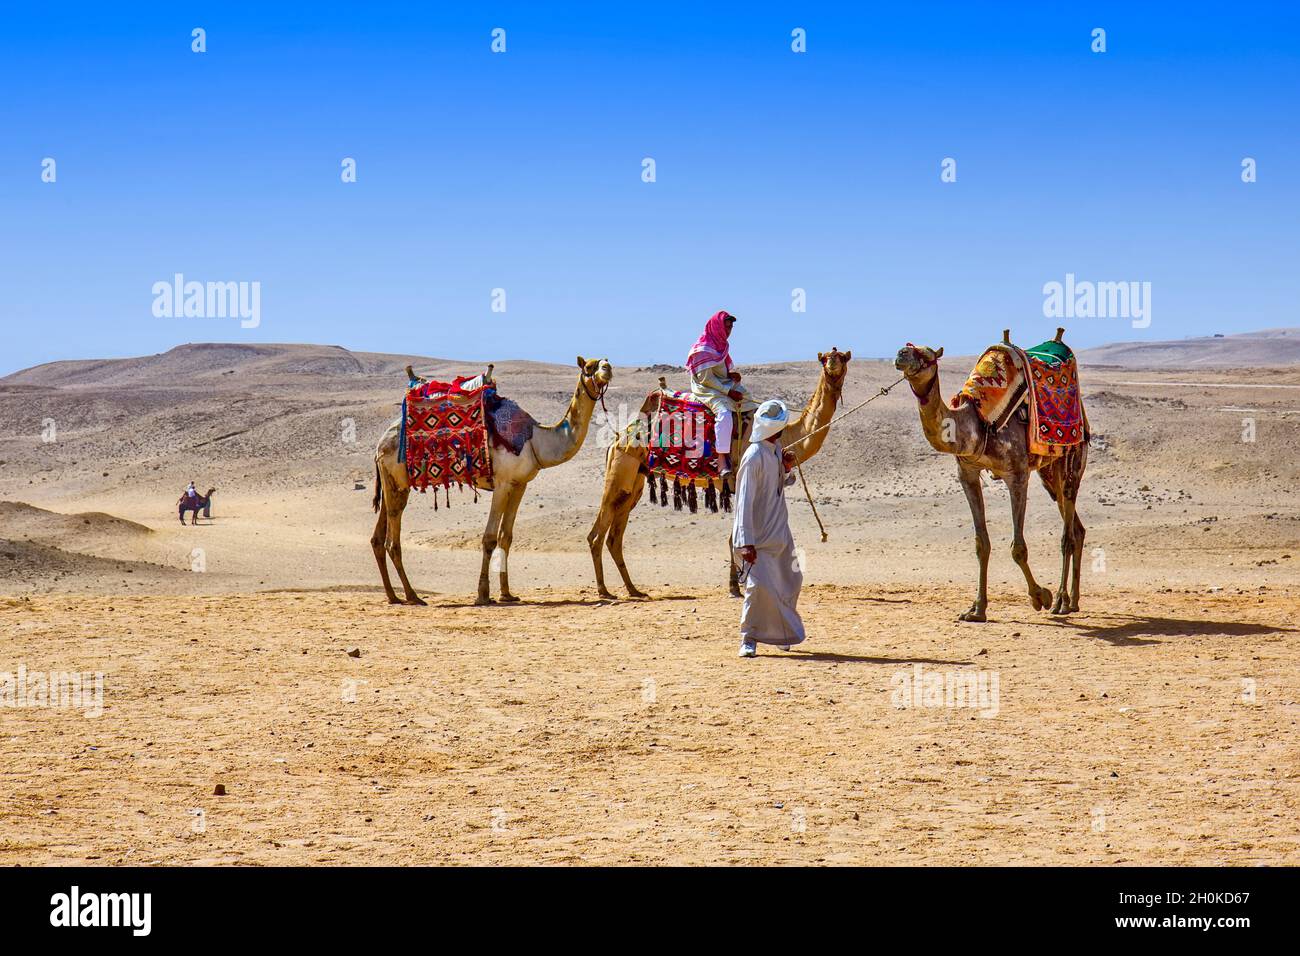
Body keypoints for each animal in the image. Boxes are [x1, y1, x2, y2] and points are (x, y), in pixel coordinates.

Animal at [372, 357, 613, 606]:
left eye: (605, 361)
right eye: (589, 367)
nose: (607, 369)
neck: (535, 440)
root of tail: (380, 444)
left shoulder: (519, 484)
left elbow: (506, 536)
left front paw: (507, 594)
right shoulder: (502, 483)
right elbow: (489, 538)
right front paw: (483, 595)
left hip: (395, 485)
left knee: (378, 538)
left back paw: (393, 596)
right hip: (396, 481)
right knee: (392, 542)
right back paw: (412, 596)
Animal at [587, 348, 852, 599]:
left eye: (843, 357)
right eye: (825, 359)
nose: (832, 364)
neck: (783, 435)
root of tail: (618, 437)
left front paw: (739, 583)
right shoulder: (741, 477)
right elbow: (736, 536)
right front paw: (736, 586)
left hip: (634, 483)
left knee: (614, 537)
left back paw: (633, 590)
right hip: (620, 472)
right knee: (597, 535)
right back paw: (604, 591)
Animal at [893, 330, 1088, 621]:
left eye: (926, 355)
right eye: (907, 348)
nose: (900, 354)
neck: (976, 422)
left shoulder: (1017, 475)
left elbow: (1018, 548)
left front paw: (1040, 596)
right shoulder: (968, 474)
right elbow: (981, 544)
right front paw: (976, 609)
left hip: (1072, 458)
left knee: (1068, 534)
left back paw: (1060, 601)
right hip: (1048, 473)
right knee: (1077, 527)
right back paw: (1073, 601)